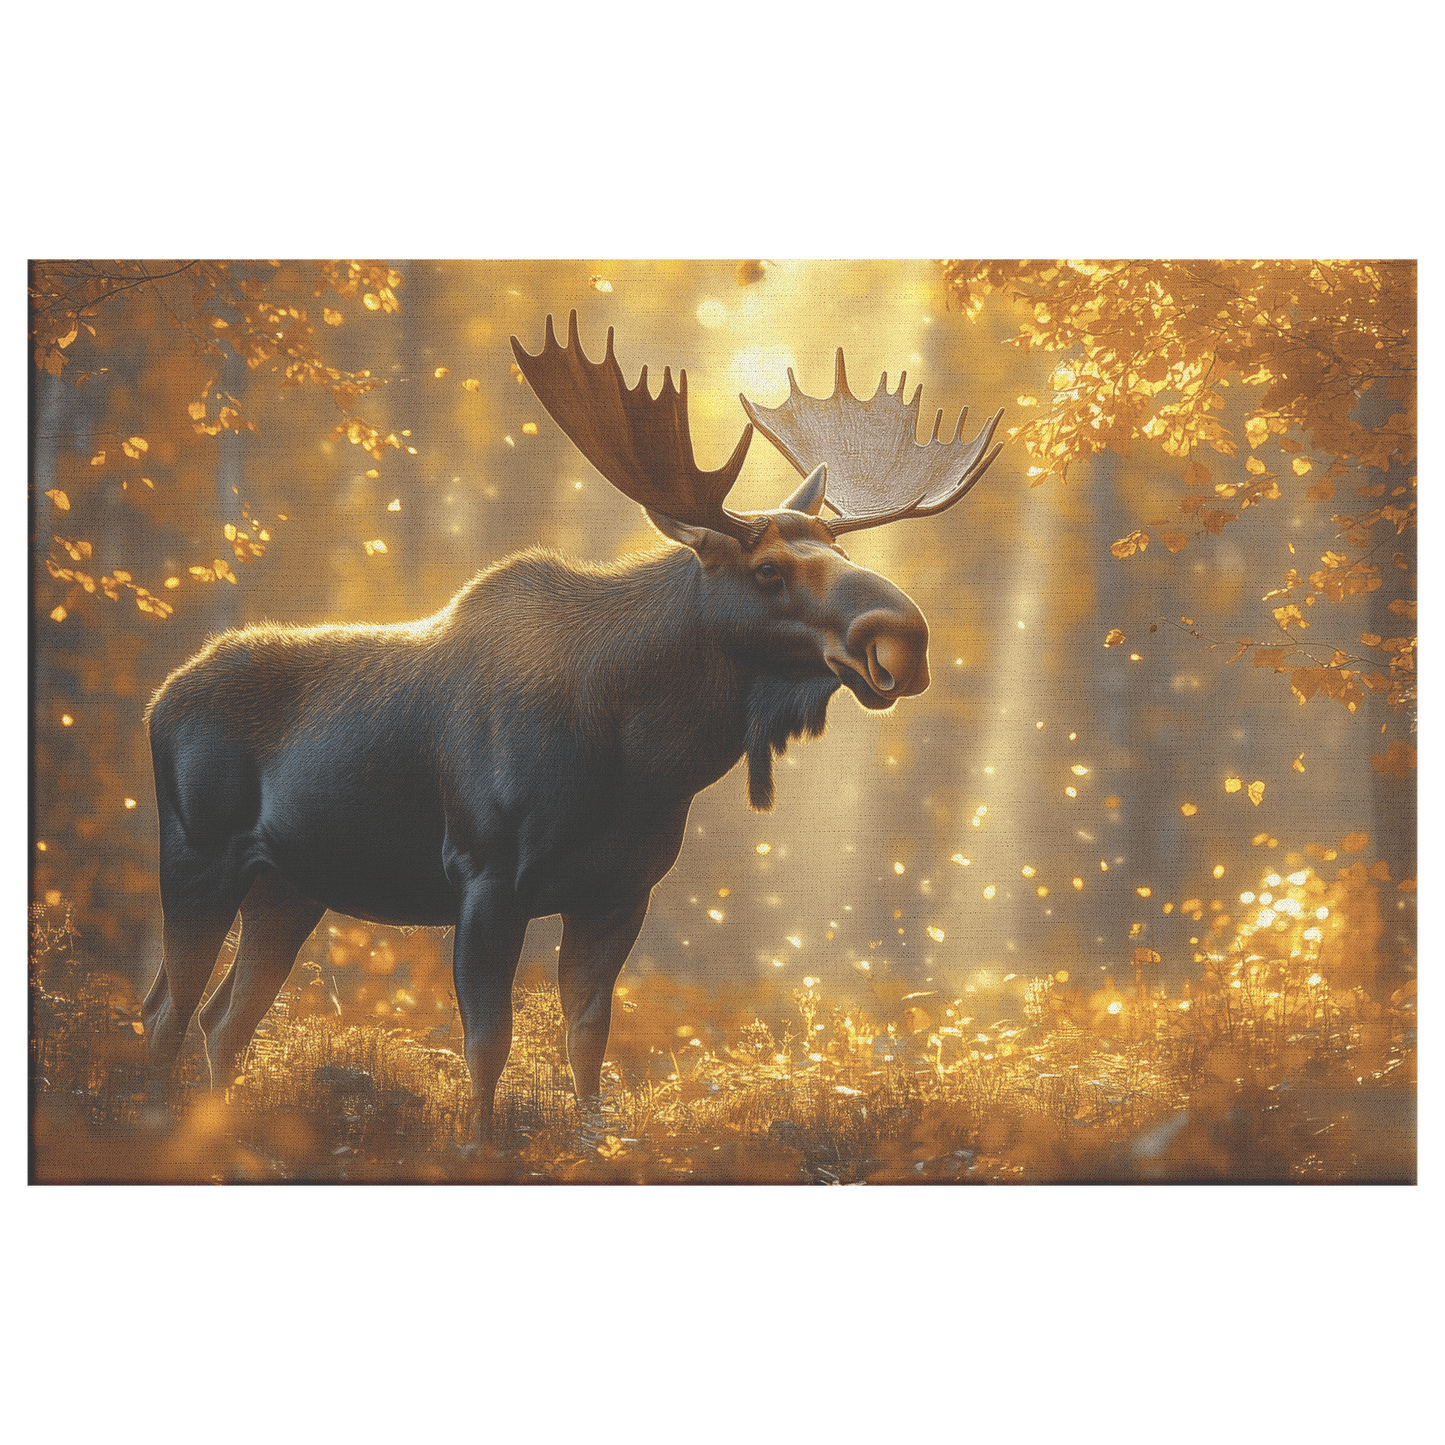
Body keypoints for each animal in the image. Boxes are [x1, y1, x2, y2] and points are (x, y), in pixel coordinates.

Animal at [140, 311, 1003, 1138]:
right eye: (767, 569)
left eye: (836, 549)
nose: (905, 637)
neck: (640, 758)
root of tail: (157, 700)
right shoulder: (483, 871)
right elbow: (486, 1040)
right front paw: (477, 1145)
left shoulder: (619, 889)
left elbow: (588, 1035)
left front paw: (593, 1139)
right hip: (197, 854)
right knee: (167, 1009)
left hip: (288, 884)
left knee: (223, 1019)